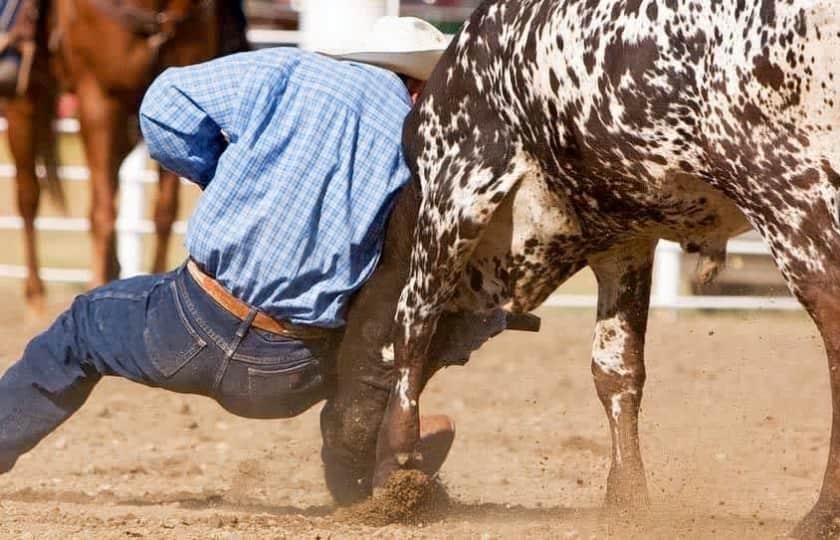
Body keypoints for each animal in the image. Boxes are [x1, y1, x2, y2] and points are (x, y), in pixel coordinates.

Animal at [326, 1, 840, 537]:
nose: (339, 467)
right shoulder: (624, 242)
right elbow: (616, 368)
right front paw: (627, 500)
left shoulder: (457, 188)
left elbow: (411, 323)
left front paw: (396, 470)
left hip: (781, 186)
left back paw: (822, 513)